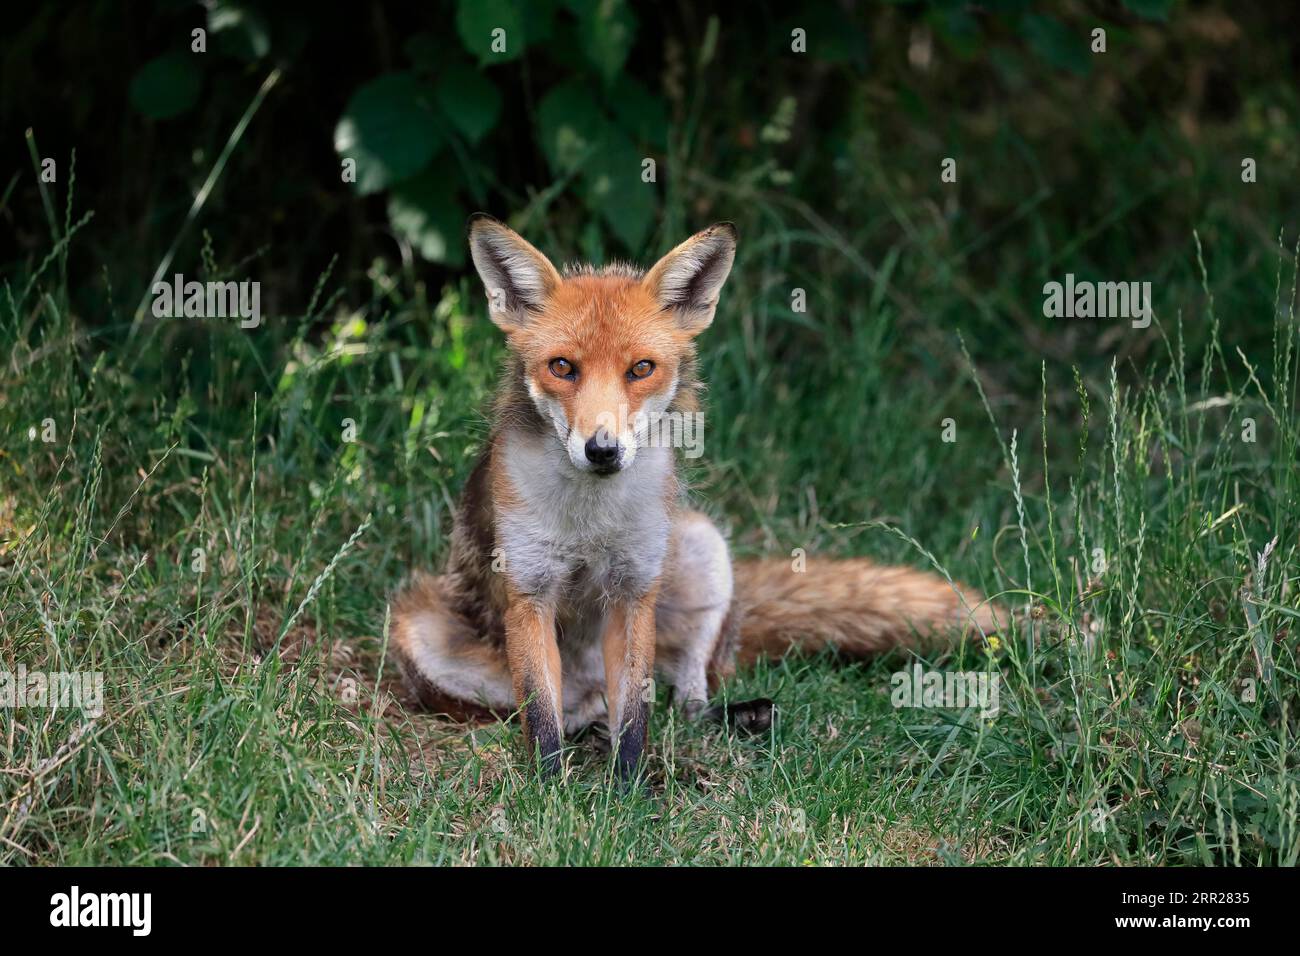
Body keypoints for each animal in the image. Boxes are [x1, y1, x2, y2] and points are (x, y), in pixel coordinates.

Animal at [391, 214, 998, 779]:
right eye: (562, 367)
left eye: (641, 368)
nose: (602, 450)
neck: (591, 519)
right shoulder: (528, 591)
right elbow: (541, 716)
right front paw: (551, 792)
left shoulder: (635, 589)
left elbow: (636, 716)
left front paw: (628, 792)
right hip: (419, 632)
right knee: (567, 711)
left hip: (703, 551)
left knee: (680, 699)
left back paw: (734, 716)